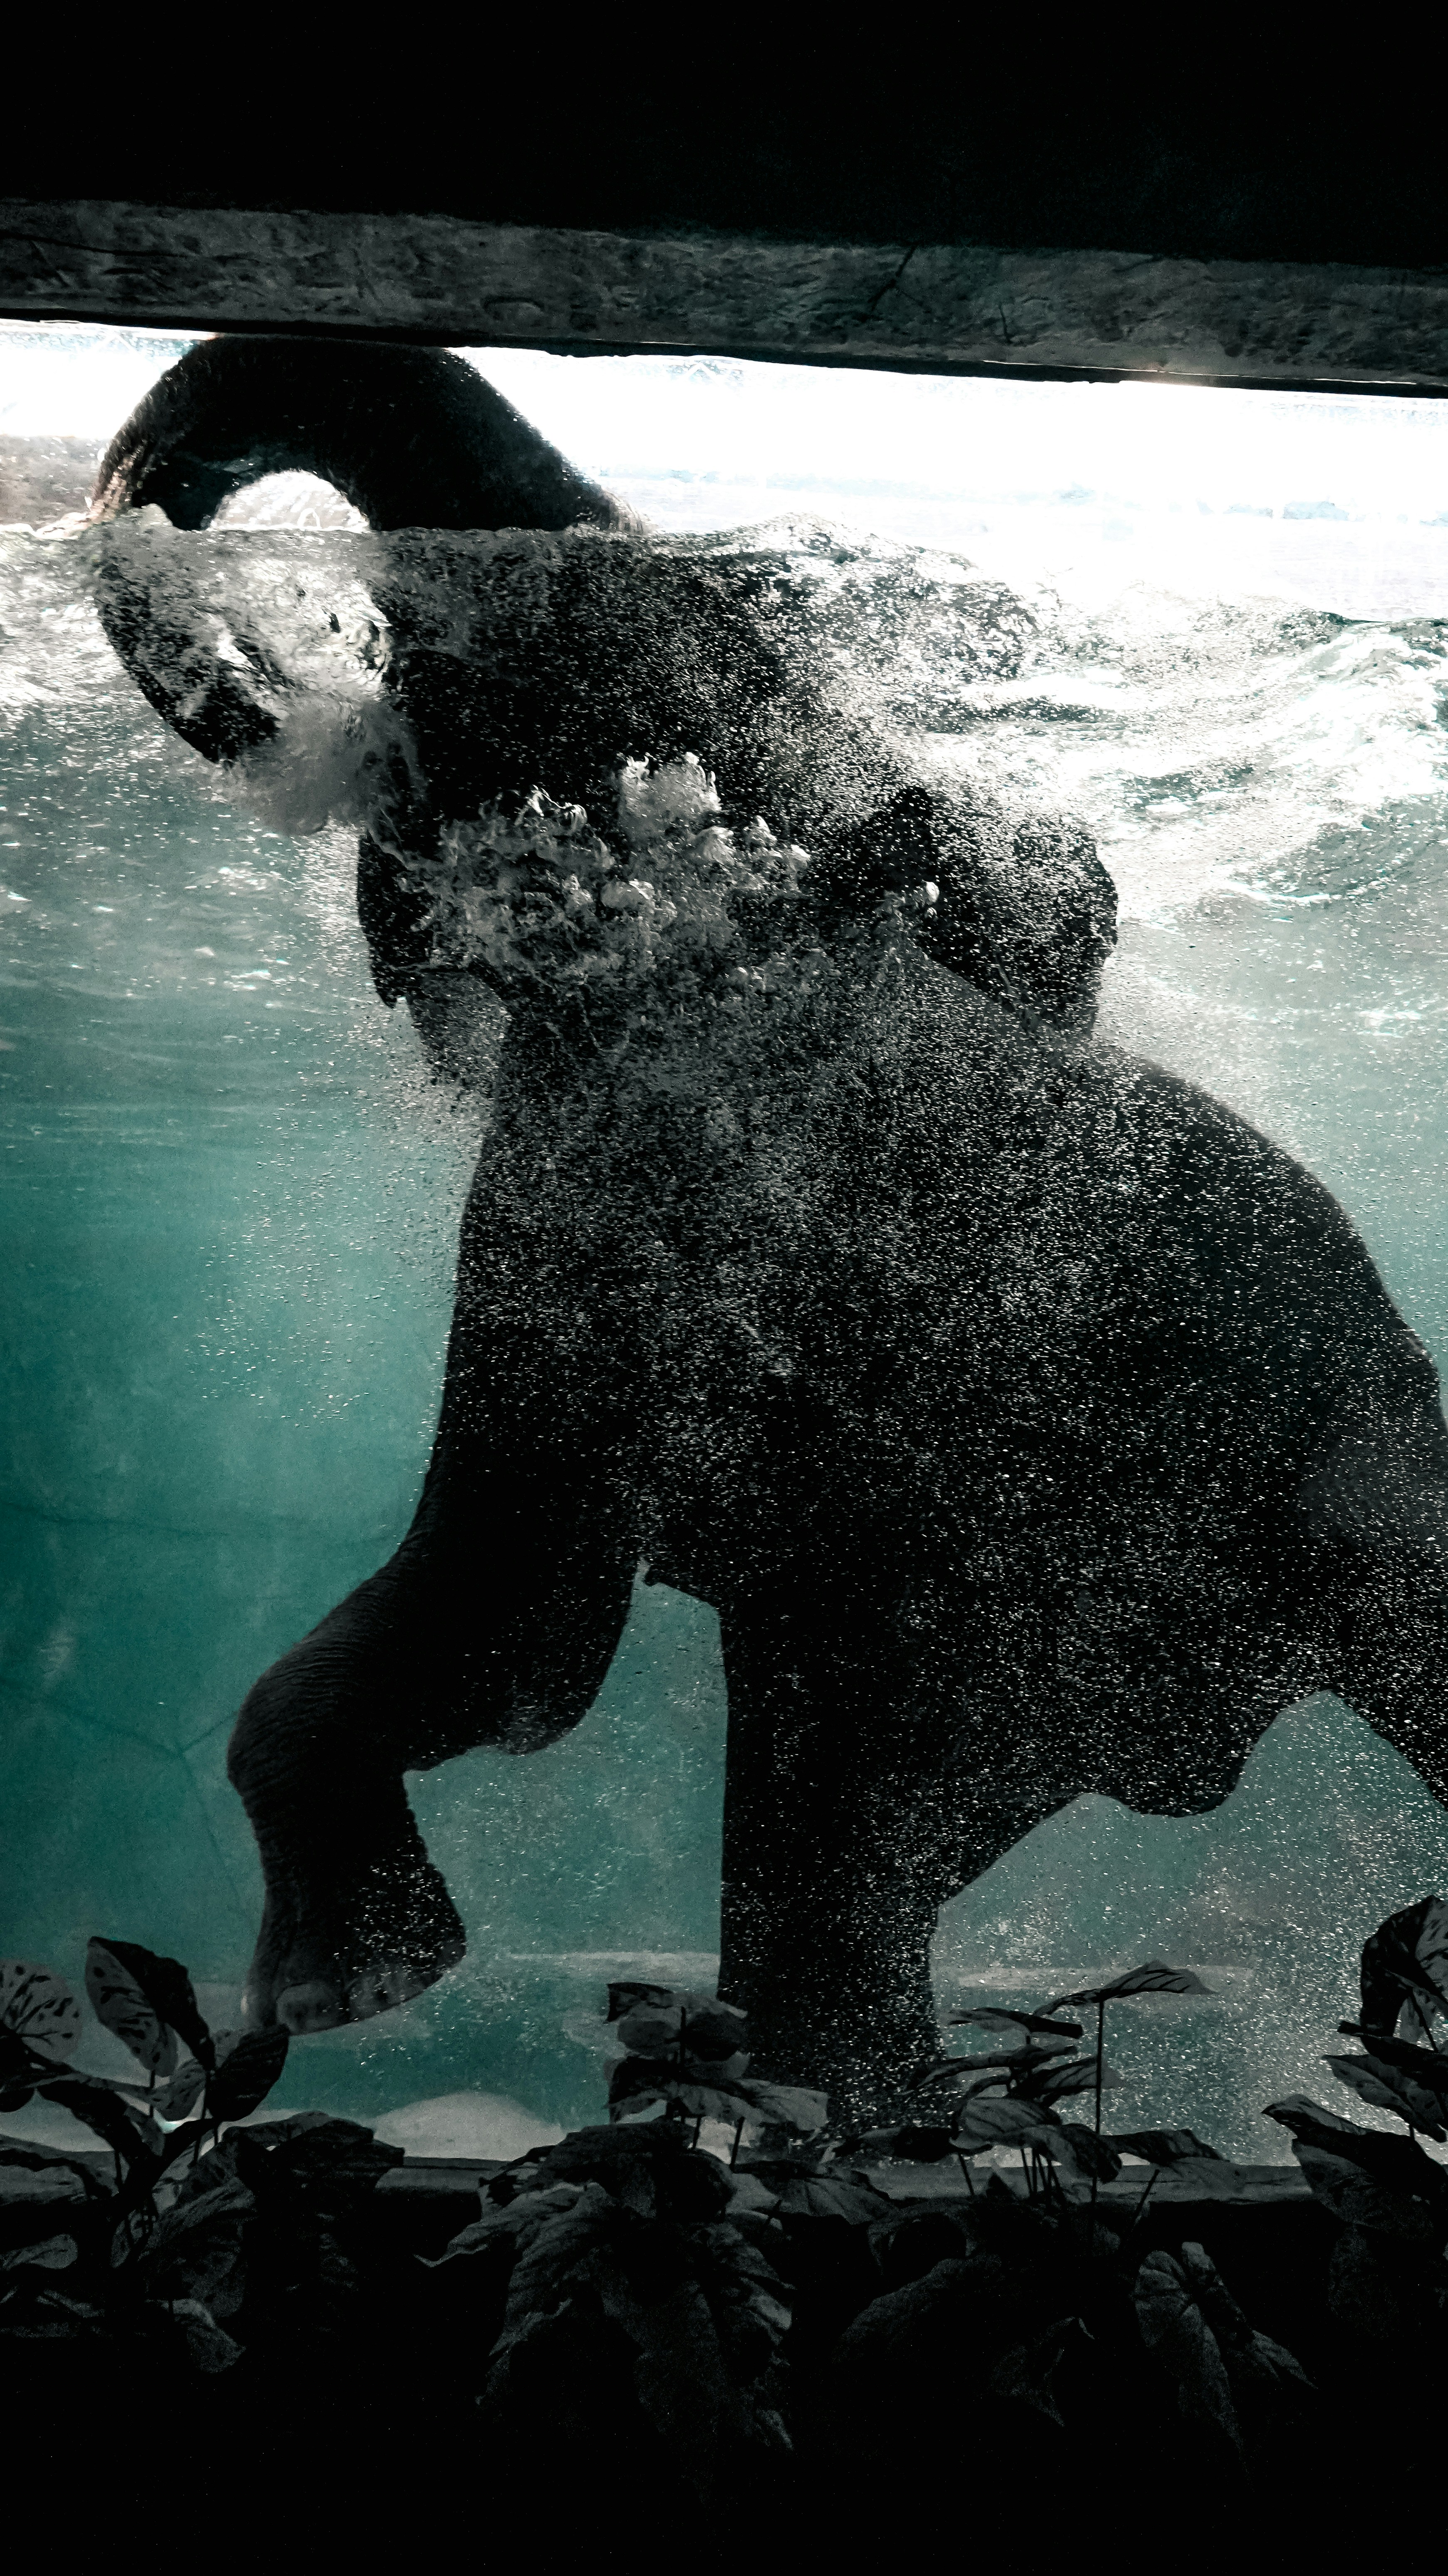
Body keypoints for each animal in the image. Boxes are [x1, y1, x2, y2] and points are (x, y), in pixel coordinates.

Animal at [88, 335, 1448, 2120]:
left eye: (718, 621)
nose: (268, 680)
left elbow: (524, 1637)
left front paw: (339, 1983)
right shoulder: (558, 1239)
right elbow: (515, 1628)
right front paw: (351, 1982)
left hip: (1355, 1463)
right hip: (876, 1671)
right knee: (830, 1894)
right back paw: (860, 2102)